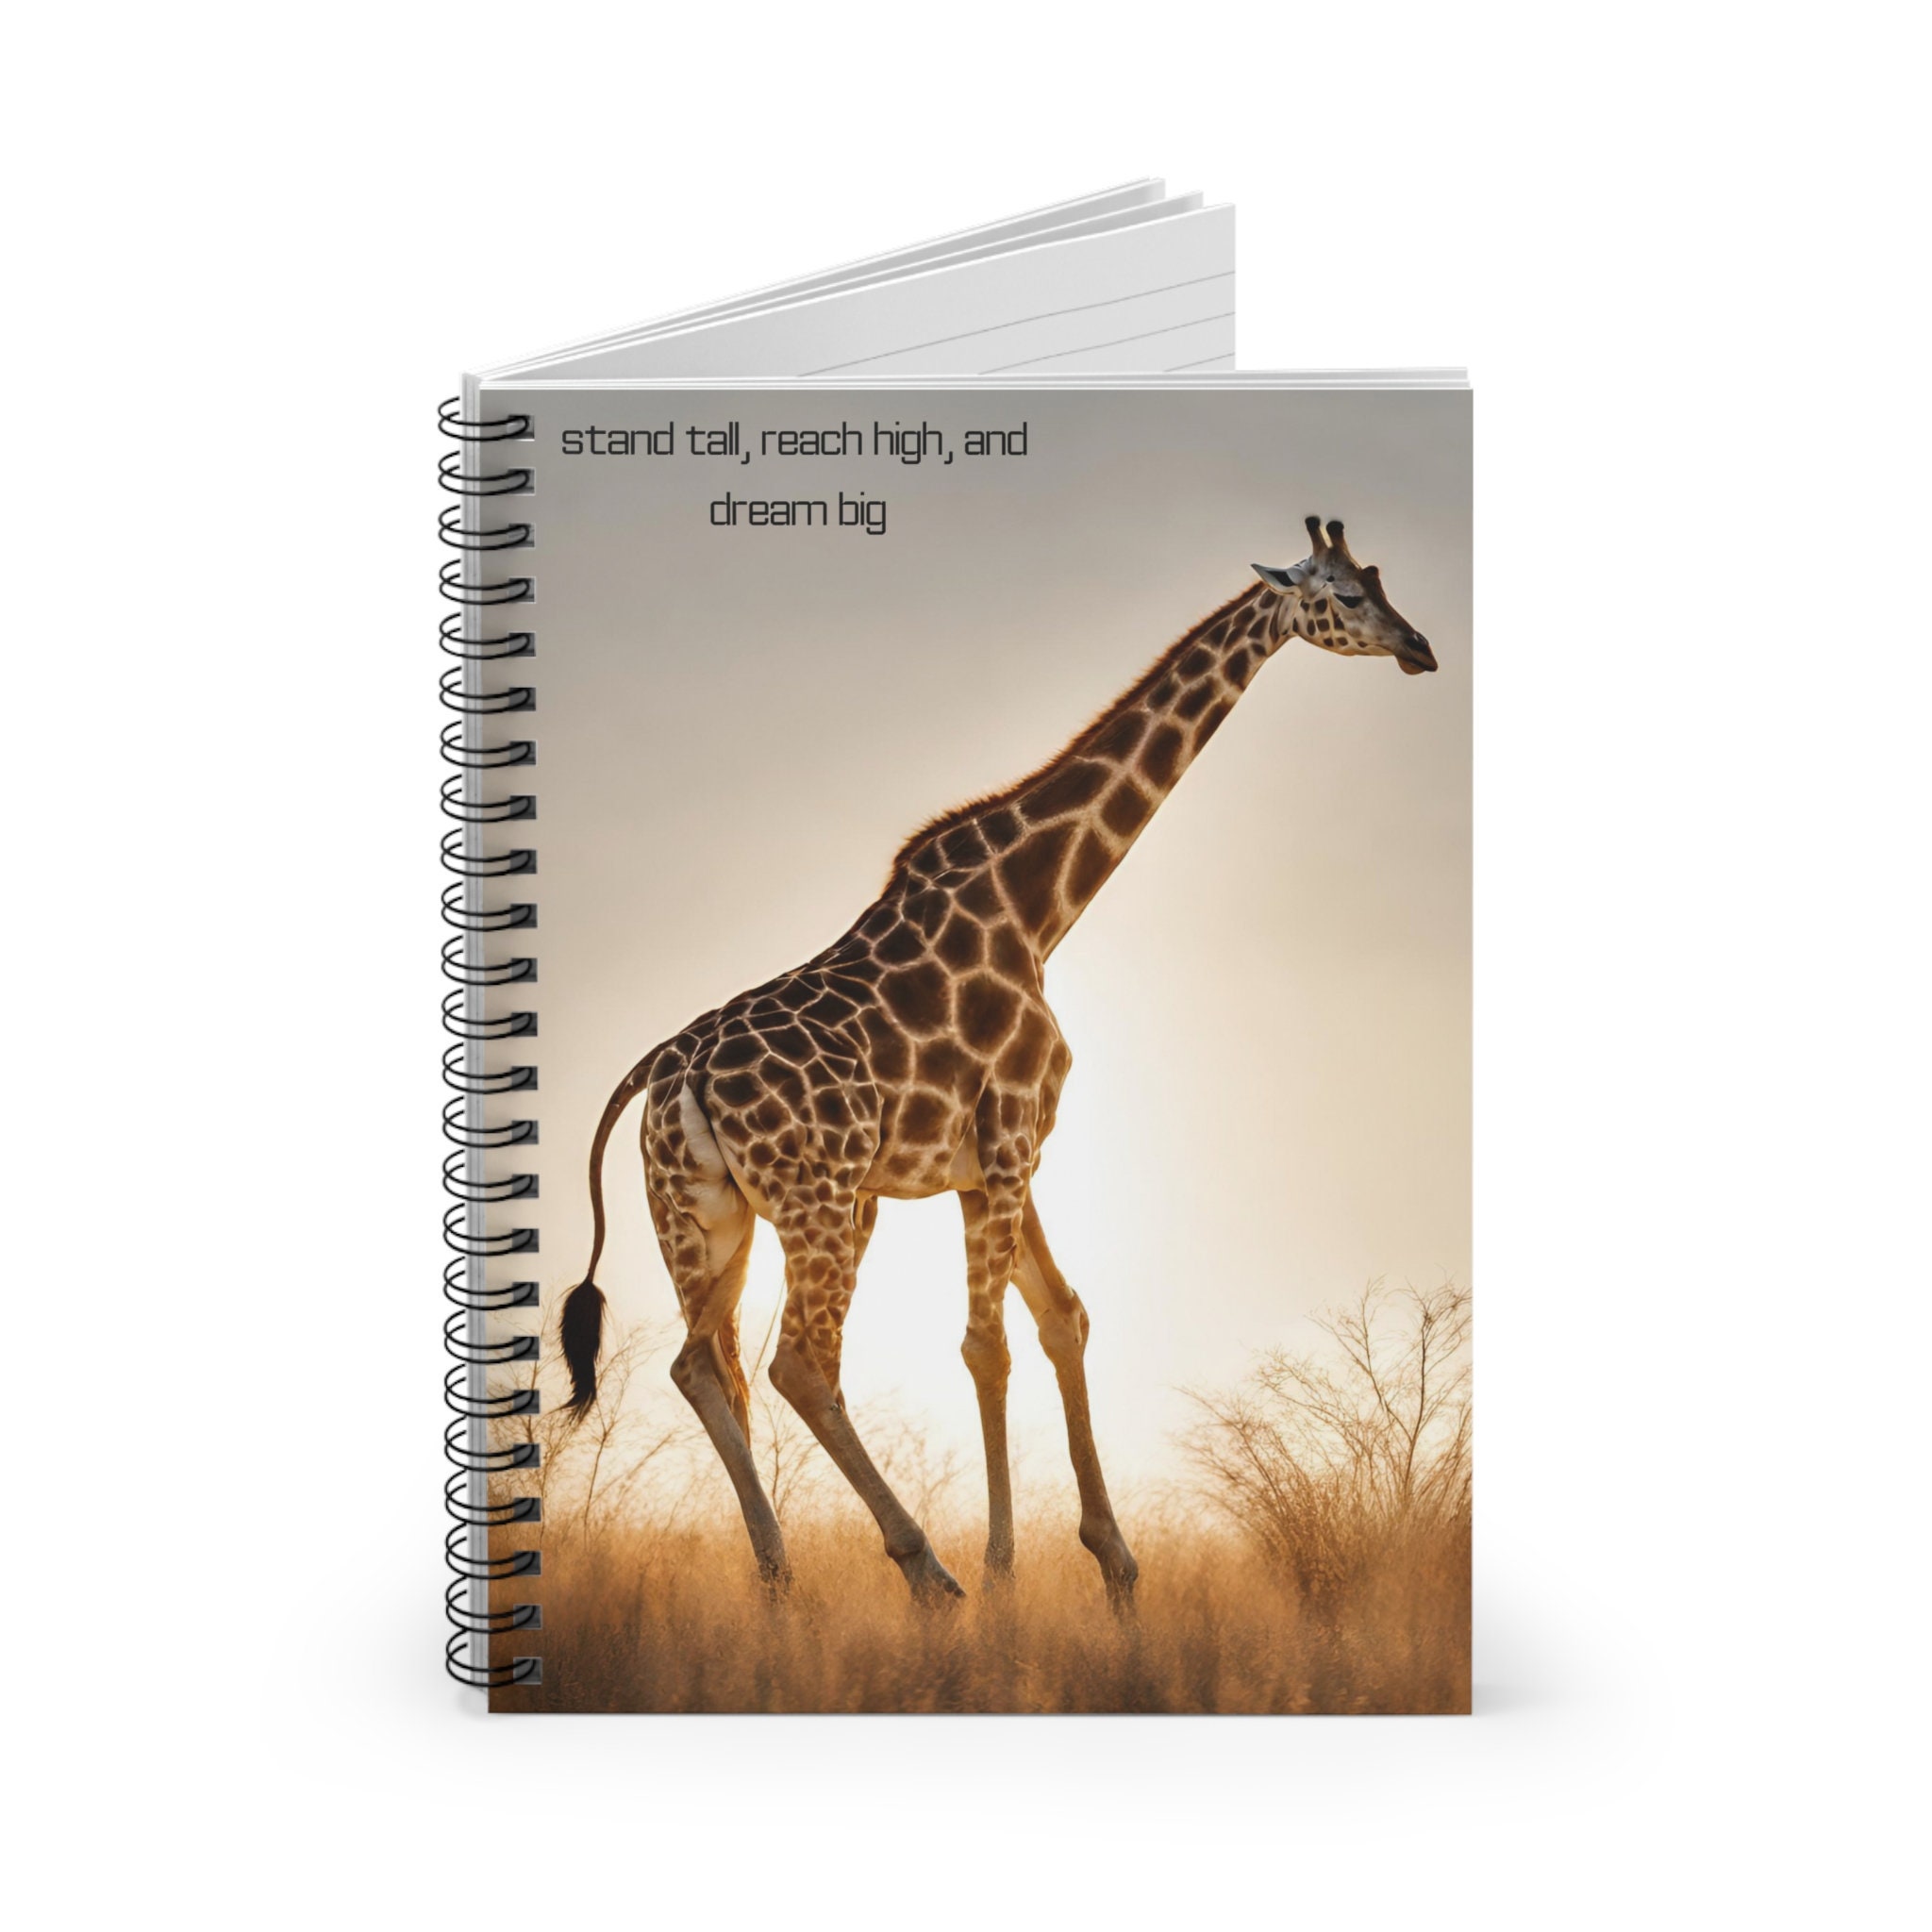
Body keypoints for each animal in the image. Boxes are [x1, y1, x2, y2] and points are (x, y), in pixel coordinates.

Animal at [558, 515, 1436, 1608]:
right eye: (1344, 596)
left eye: (1381, 581)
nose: (1420, 647)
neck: (1036, 907)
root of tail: (665, 1070)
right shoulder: (1011, 1133)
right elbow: (991, 1344)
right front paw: (1007, 1579)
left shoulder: (991, 1158)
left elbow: (1063, 1316)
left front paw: (1116, 1568)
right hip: (824, 1196)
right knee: (797, 1361)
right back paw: (926, 1574)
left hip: (701, 1214)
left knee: (699, 1364)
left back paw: (777, 1583)